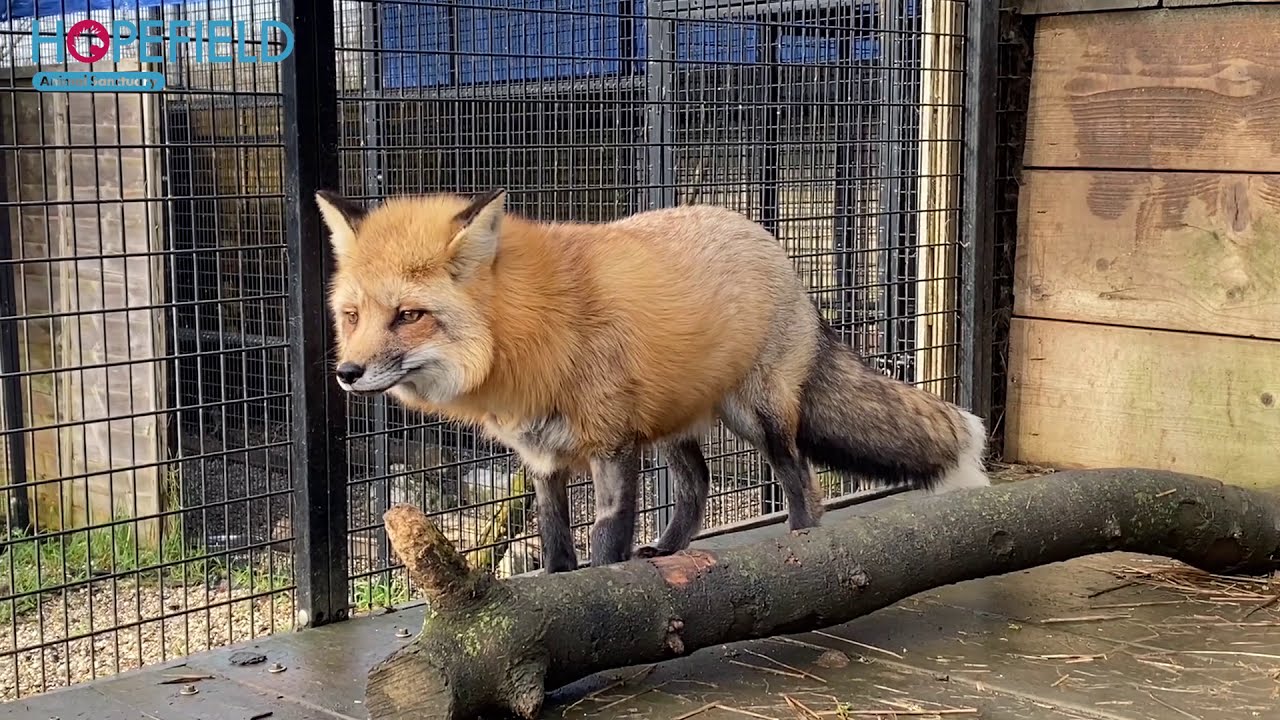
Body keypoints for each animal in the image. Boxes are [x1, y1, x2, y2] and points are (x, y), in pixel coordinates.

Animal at [315, 188, 991, 574]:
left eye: (408, 315)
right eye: (352, 317)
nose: (347, 374)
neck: (528, 331)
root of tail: (771, 244)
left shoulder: (611, 445)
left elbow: (606, 540)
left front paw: (605, 592)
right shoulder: (544, 460)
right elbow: (556, 548)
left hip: (759, 419)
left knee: (802, 479)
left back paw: (799, 541)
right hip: (670, 427)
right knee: (699, 484)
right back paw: (667, 553)